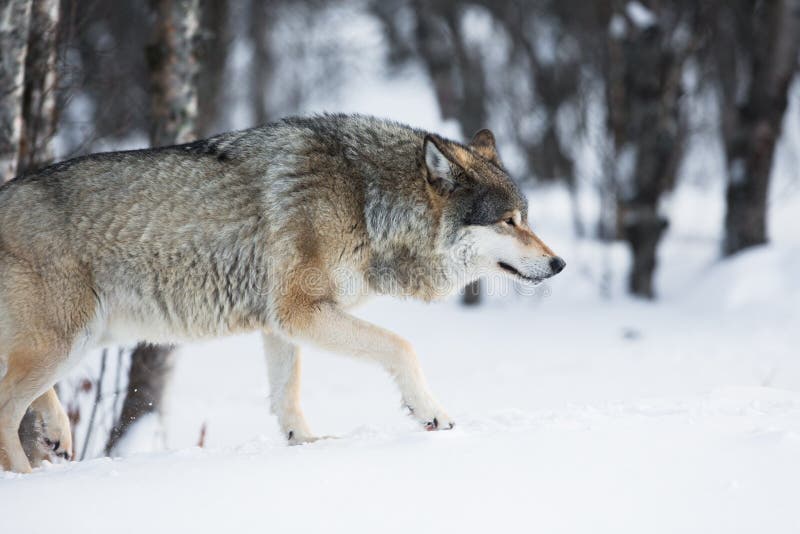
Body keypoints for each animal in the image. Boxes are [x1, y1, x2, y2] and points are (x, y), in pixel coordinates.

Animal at [0, 114, 565, 472]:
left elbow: (286, 394)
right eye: (510, 221)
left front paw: (306, 446)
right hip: (70, 339)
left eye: (527, 218)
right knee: (7, 408)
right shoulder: (301, 310)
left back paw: (57, 432)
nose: (559, 263)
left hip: (79, 338)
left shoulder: (280, 323)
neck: (367, 201)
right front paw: (432, 413)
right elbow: (402, 346)